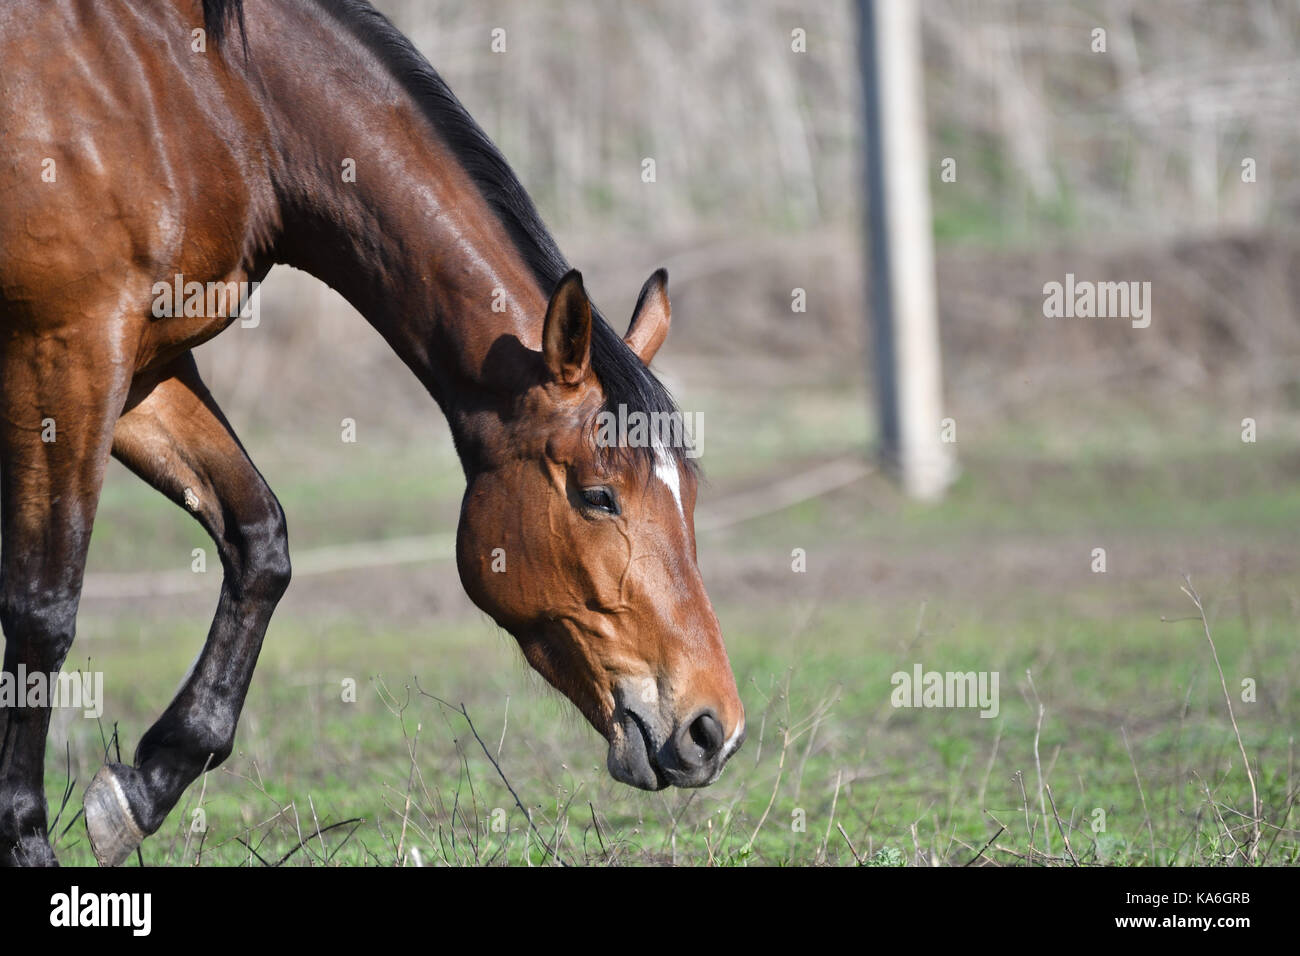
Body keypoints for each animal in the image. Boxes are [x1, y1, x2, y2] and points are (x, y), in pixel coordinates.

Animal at [0, 0, 745, 866]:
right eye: (598, 496)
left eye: (688, 495)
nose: (712, 729)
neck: (212, 93)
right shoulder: (70, 349)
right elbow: (43, 610)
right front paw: (26, 837)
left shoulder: (144, 365)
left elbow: (260, 542)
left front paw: (144, 788)